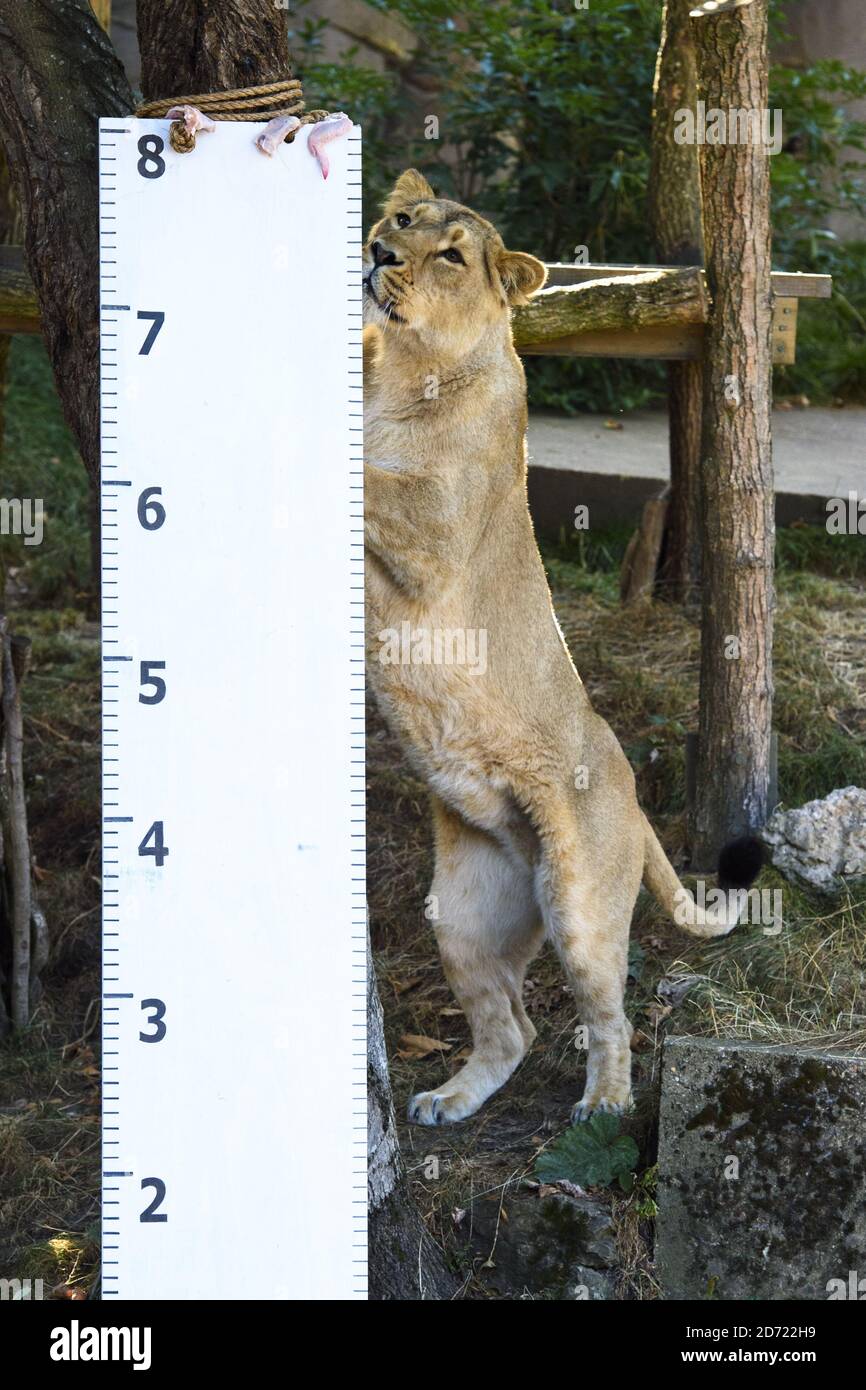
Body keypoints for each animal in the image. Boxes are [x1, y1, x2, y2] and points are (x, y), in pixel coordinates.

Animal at [363, 169, 762, 1126]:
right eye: (402, 218)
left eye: (451, 256)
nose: (380, 252)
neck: (404, 362)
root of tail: (633, 796)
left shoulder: (432, 534)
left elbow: (366, 478)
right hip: (465, 912)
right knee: (512, 1028)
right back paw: (448, 1100)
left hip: (578, 899)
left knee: (607, 1018)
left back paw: (605, 1106)